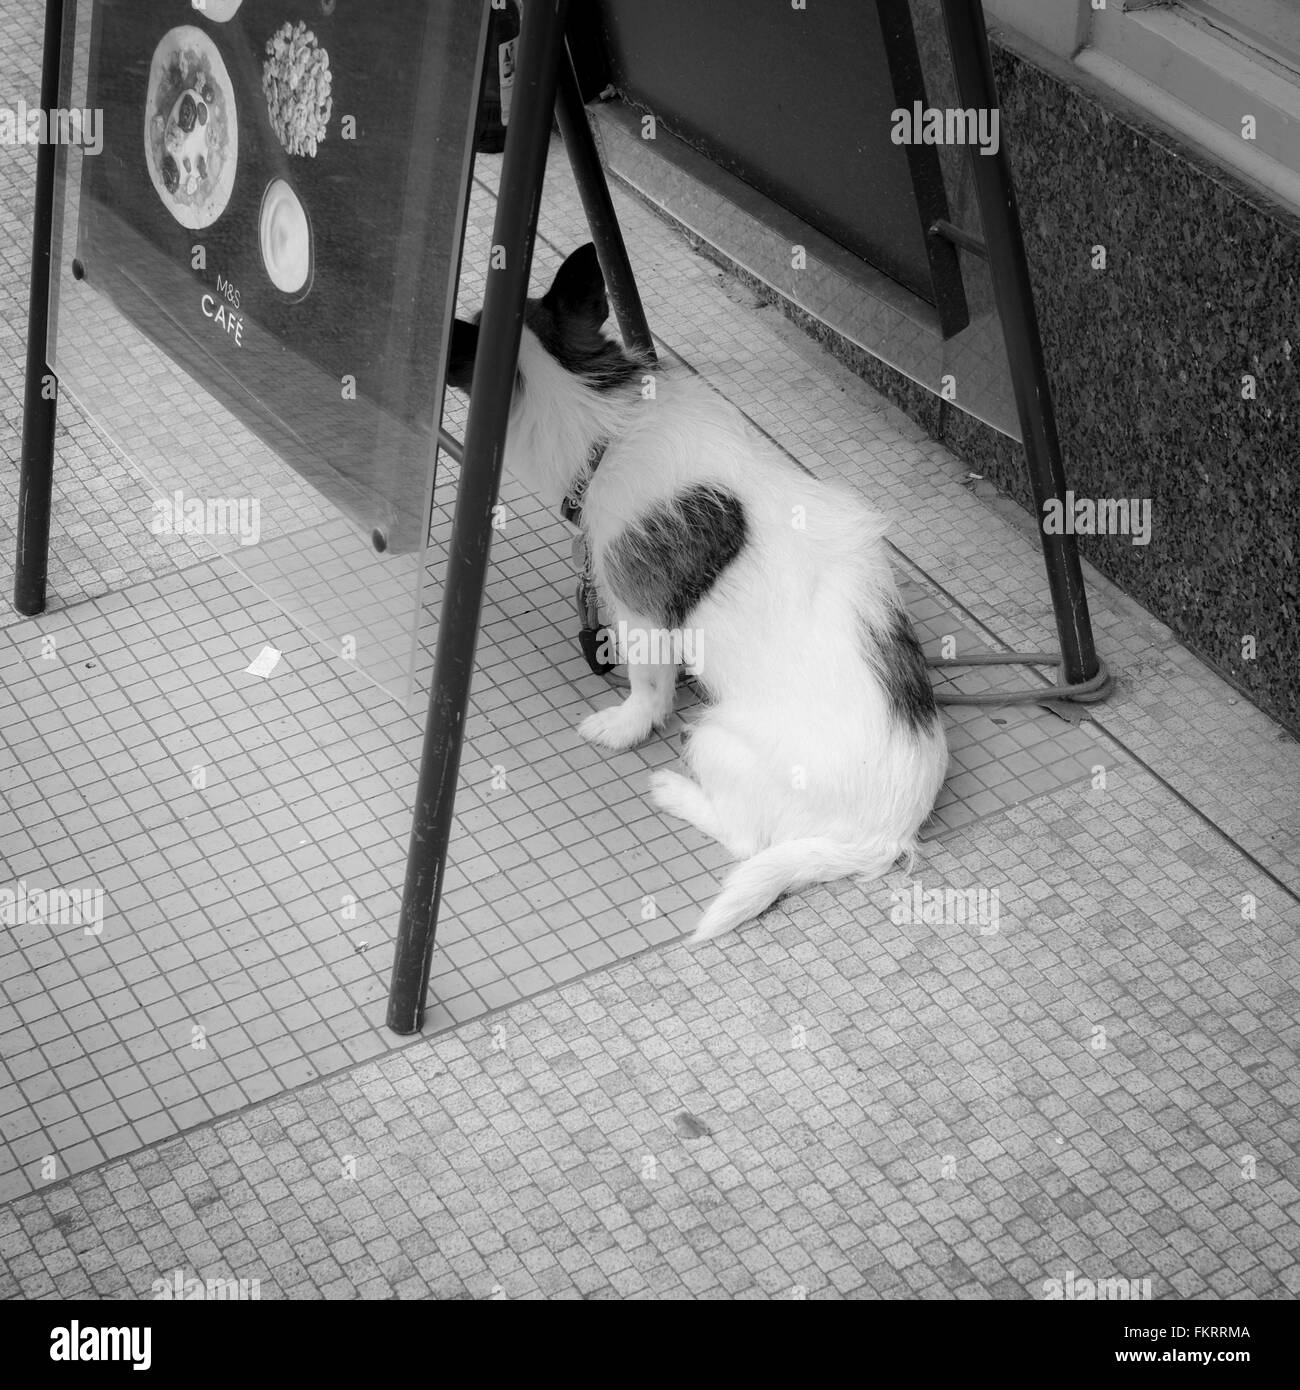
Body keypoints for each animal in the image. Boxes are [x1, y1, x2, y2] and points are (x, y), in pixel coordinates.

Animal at [447, 247, 945, 945]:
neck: (607, 427)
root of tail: (883, 836)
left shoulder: (641, 616)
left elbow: (646, 688)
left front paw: (624, 725)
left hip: (714, 741)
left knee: (745, 839)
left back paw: (673, 792)